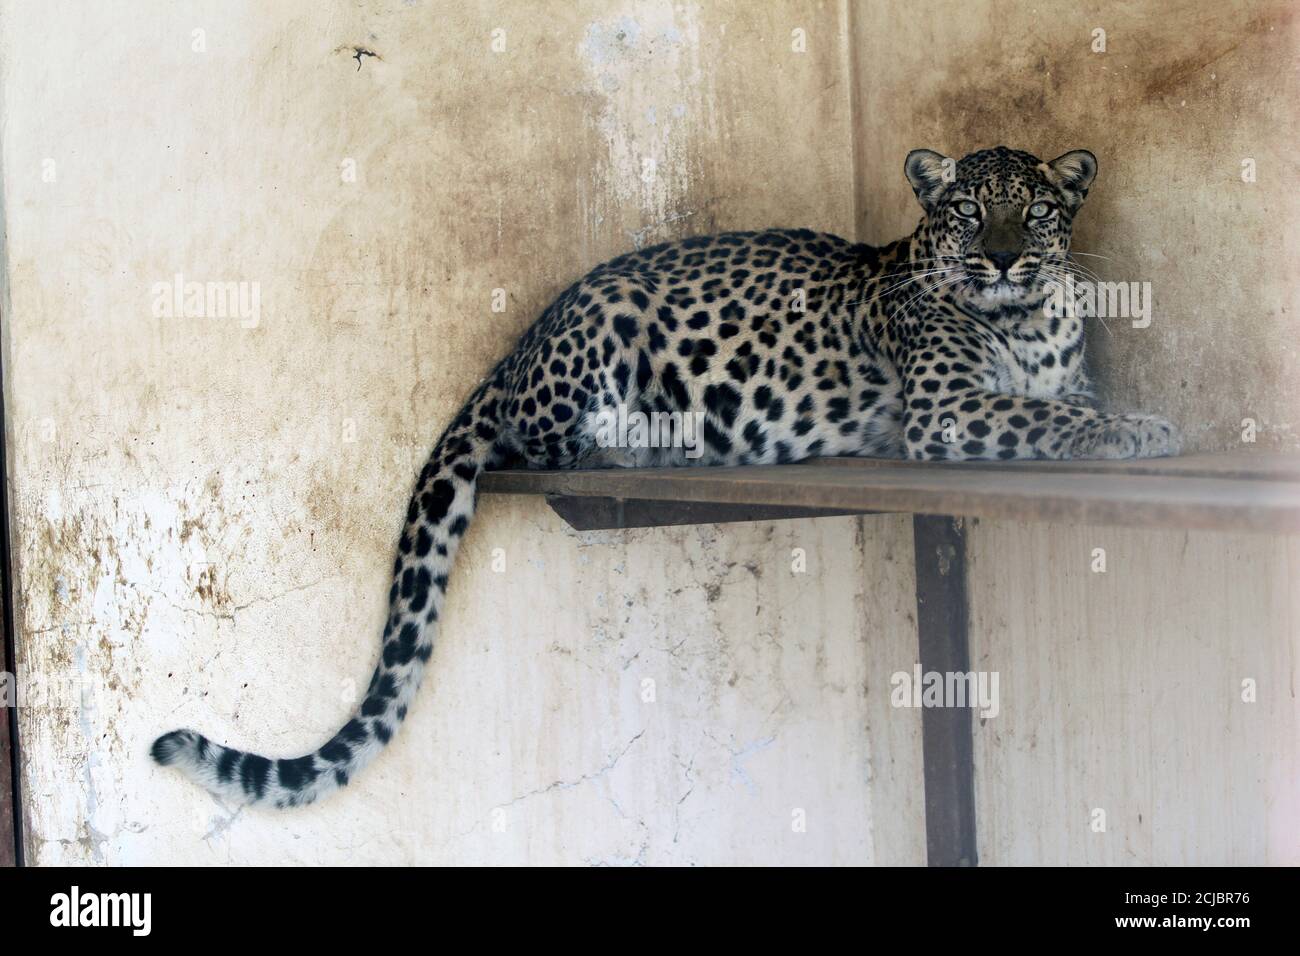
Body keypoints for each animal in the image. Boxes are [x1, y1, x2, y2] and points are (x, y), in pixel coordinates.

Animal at [152, 145, 1180, 807]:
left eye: (1034, 211)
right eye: (969, 211)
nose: (1002, 257)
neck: (1026, 318)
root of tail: (511, 349)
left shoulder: (1049, 377)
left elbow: (1064, 403)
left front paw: (1134, 418)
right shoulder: (946, 412)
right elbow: (1049, 419)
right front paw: (1149, 428)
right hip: (604, 326)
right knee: (538, 443)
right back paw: (655, 442)